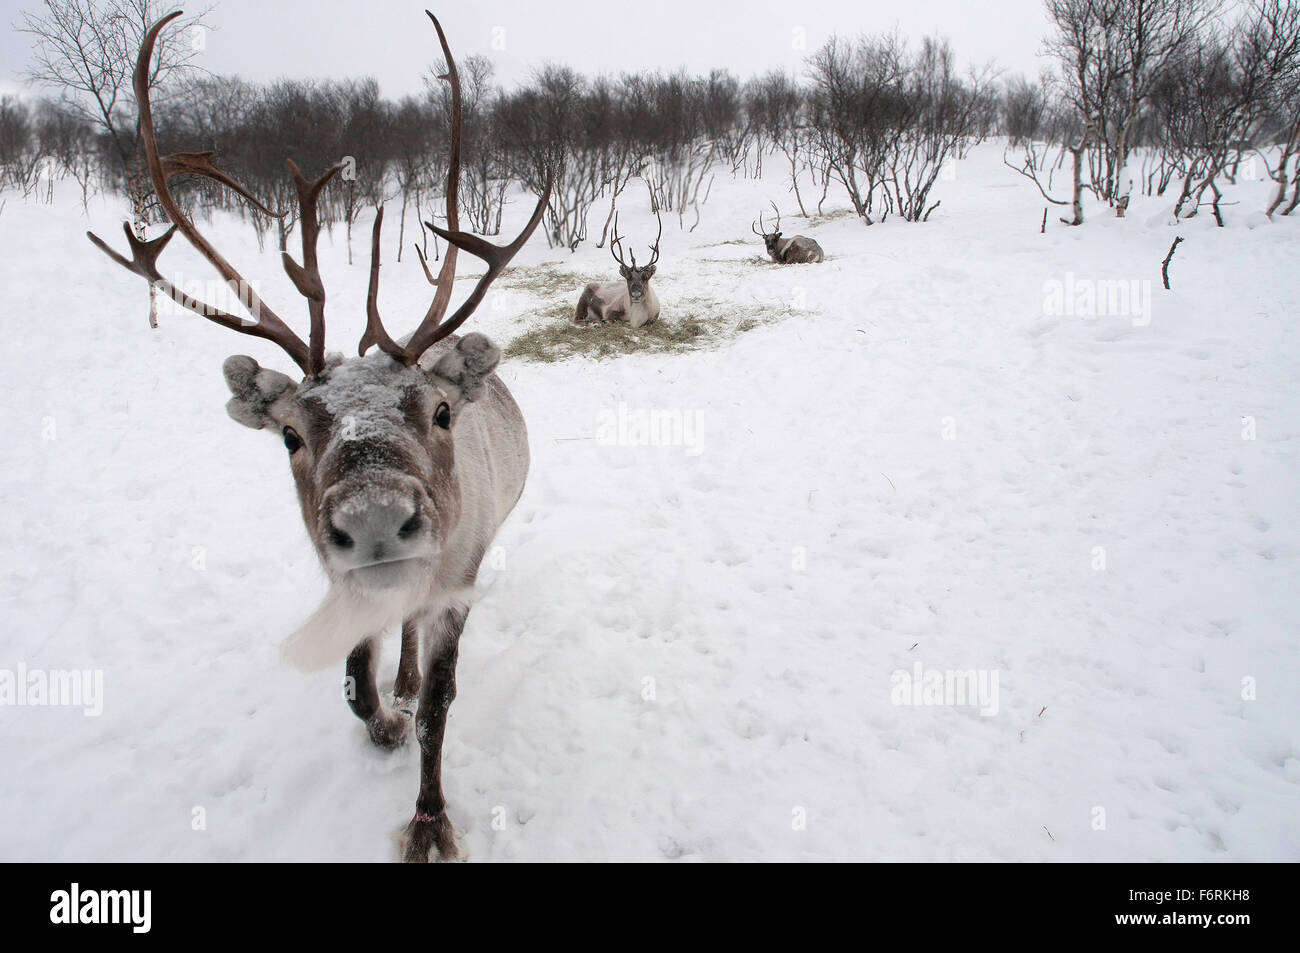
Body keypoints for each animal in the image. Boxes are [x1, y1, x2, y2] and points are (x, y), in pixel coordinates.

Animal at [86, 9, 551, 863]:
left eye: (439, 412)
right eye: (290, 436)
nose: (374, 519)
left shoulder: (458, 579)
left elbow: (440, 704)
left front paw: (429, 819)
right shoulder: (345, 582)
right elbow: (354, 682)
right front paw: (384, 719)